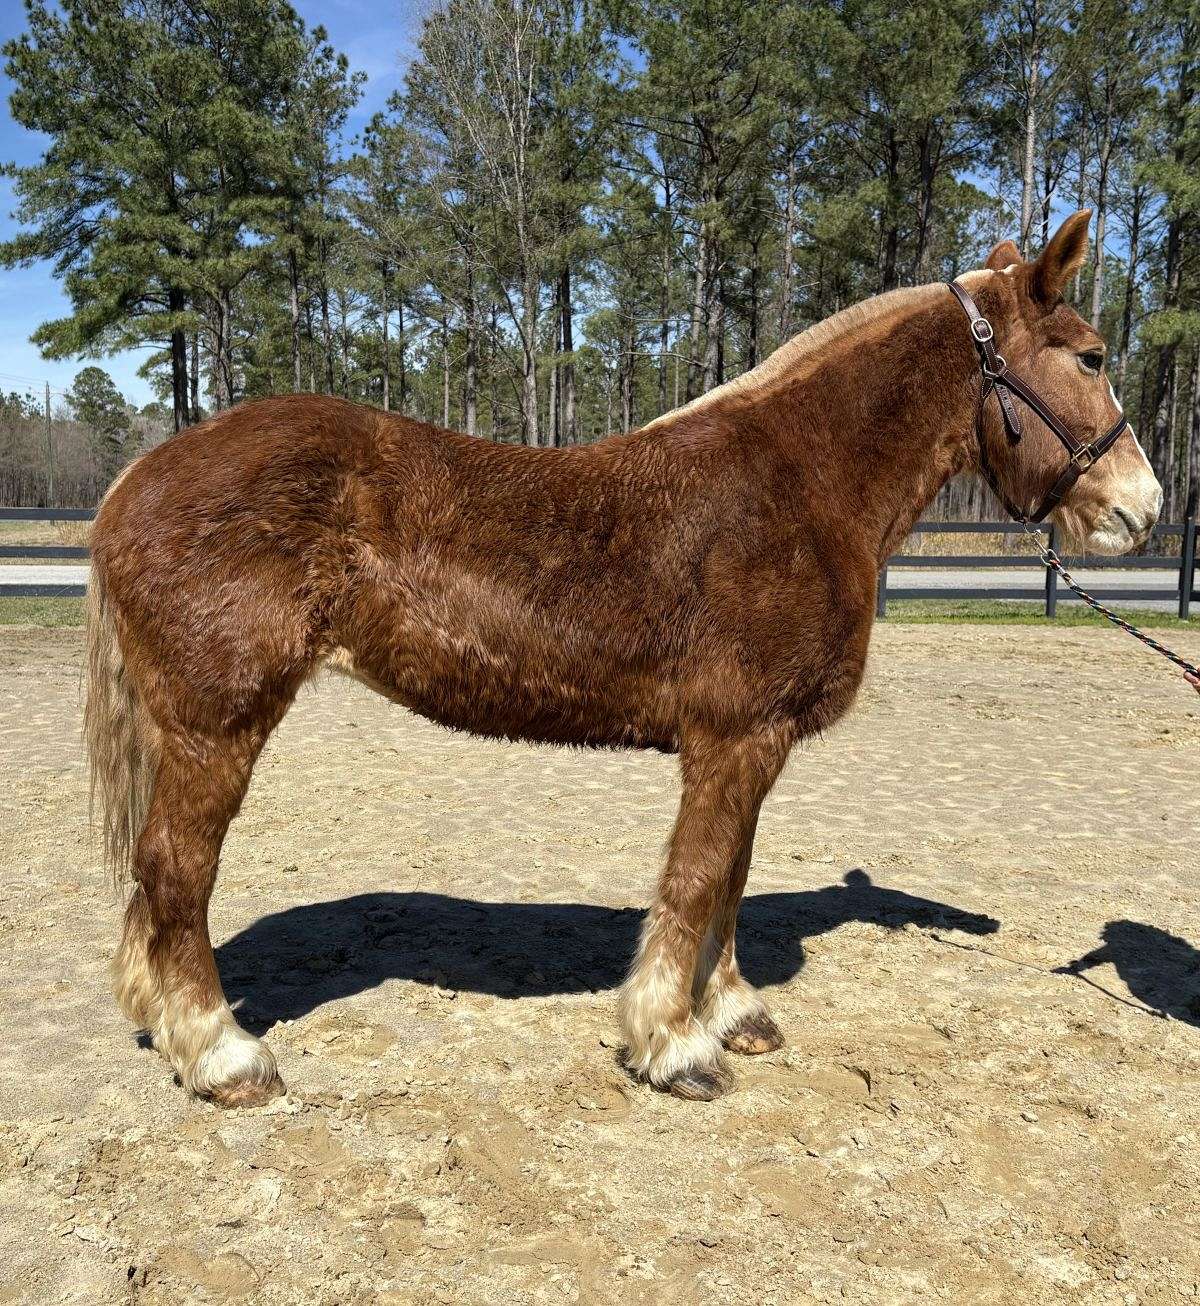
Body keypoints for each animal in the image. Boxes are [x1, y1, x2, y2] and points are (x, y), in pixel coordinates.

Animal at [85, 210, 1162, 1107]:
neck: (802, 483)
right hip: (218, 723)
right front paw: (675, 1046)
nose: (1142, 508)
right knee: (177, 870)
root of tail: (136, 477)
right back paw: (223, 1054)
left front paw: (734, 1013)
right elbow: (696, 878)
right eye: (1092, 356)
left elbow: (731, 877)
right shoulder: (732, 736)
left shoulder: (757, 742)